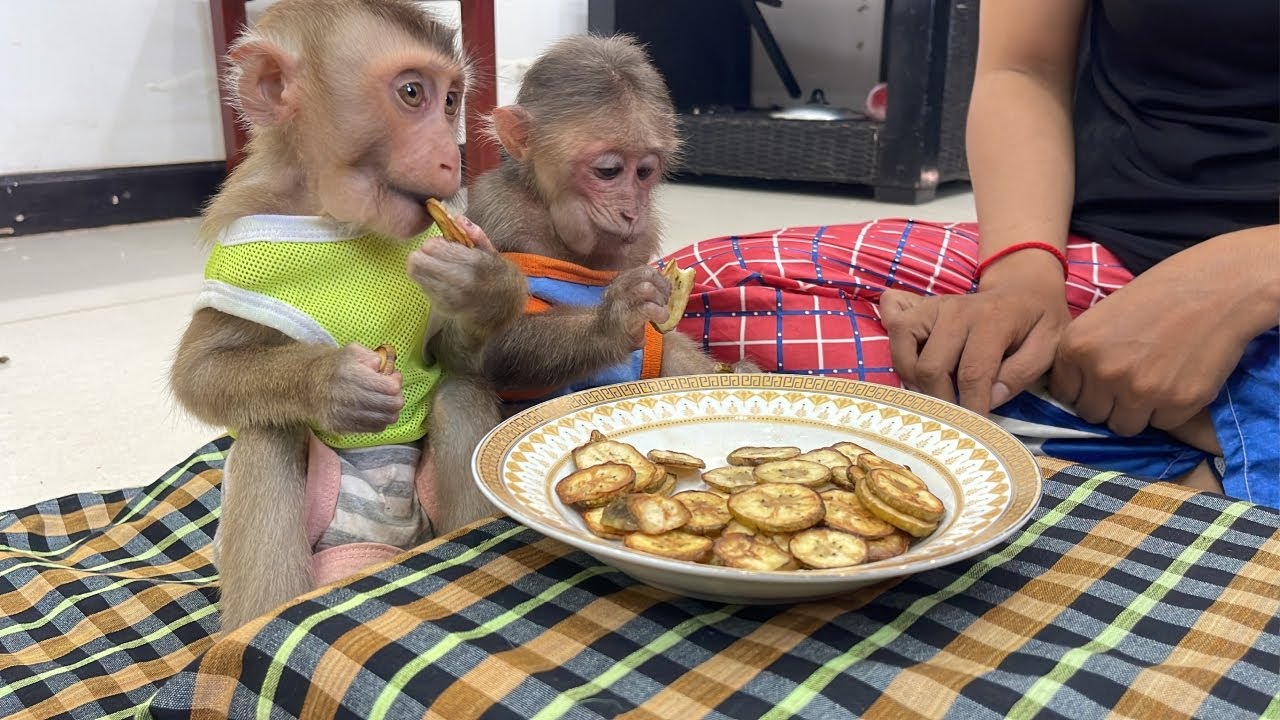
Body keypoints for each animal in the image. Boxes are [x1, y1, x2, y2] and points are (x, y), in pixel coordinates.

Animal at [168, 0, 526, 633]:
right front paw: (335, 381)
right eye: (412, 93)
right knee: (267, 437)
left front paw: (483, 284)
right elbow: (201, 369)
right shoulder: (240, 248)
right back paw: (256, 630)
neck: (333, 213)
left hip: (424, 515)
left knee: (460, 392)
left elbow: (456, 357)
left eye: (452, 101)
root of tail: (379, 551)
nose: (449, 159)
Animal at [464, 34, 759, 411]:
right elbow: (494, 347)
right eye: (608, 171)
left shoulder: (642, 241)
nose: (632, 211)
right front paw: (614, 321)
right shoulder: (507, 219)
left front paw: (740, 372)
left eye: (644, 172)